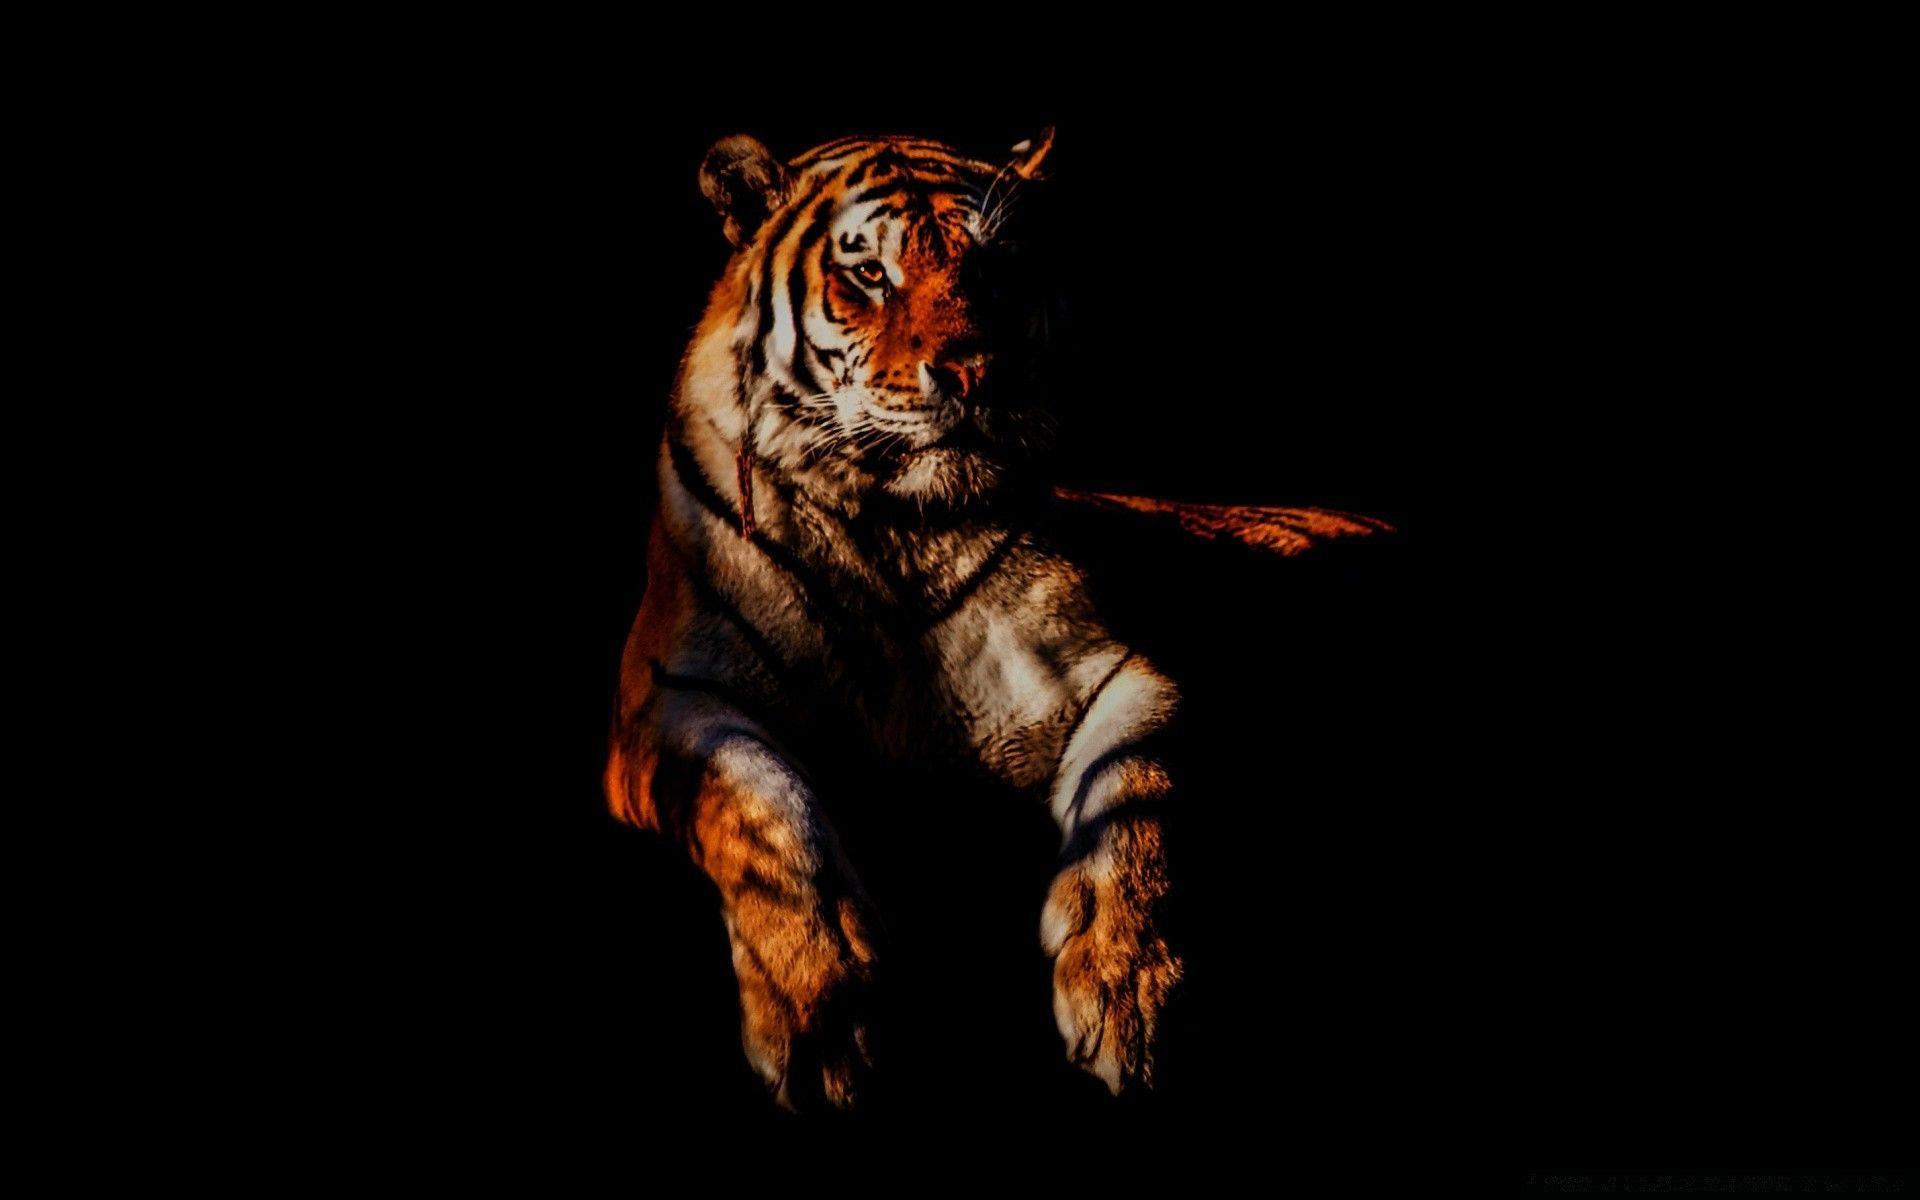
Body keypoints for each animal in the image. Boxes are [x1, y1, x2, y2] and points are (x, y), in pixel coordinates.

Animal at [603, 128, 1386, 1111]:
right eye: (869, 275)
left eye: (996, 269)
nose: (974, 372)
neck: (895, 531)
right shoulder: (669, 699)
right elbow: (760, 807)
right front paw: (818, 1011)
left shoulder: (1117, 663)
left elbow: (1138, 789)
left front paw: (1129, 988)